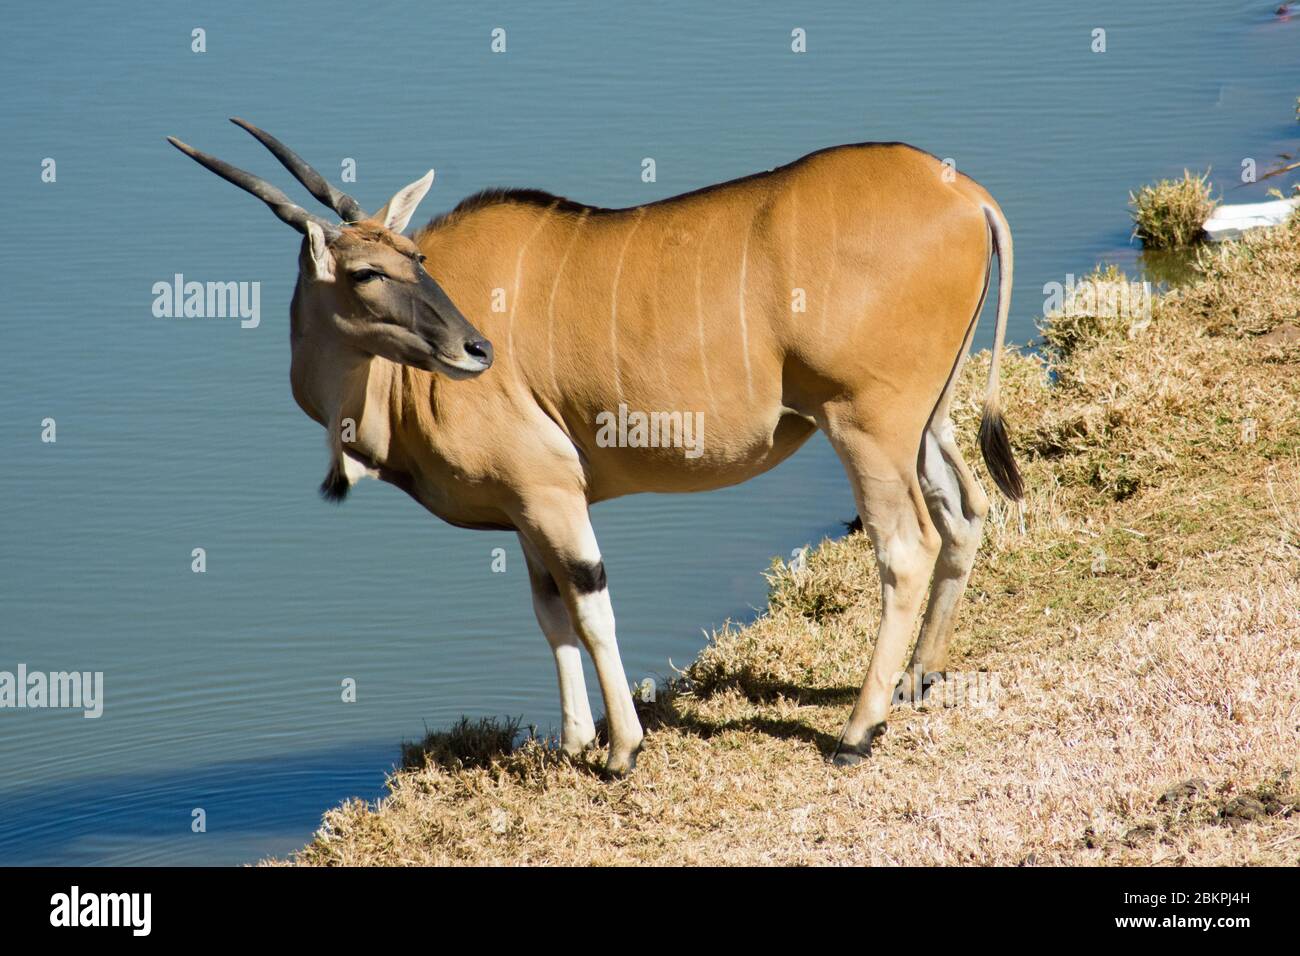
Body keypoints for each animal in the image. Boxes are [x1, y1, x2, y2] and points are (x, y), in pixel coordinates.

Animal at [169, 120, 1022, 776]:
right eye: (370, 270)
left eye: (414, 260)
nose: (474, 349)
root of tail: (964, 195)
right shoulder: (525, 510)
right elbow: (550, 613)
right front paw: (578, 740)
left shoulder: (550, 494)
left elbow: (590, 606)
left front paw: (621, 750)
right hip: (923, 424)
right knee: (964, 513)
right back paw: (919, 679)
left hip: (865, 426)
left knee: (906, 548)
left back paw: (857, 731)